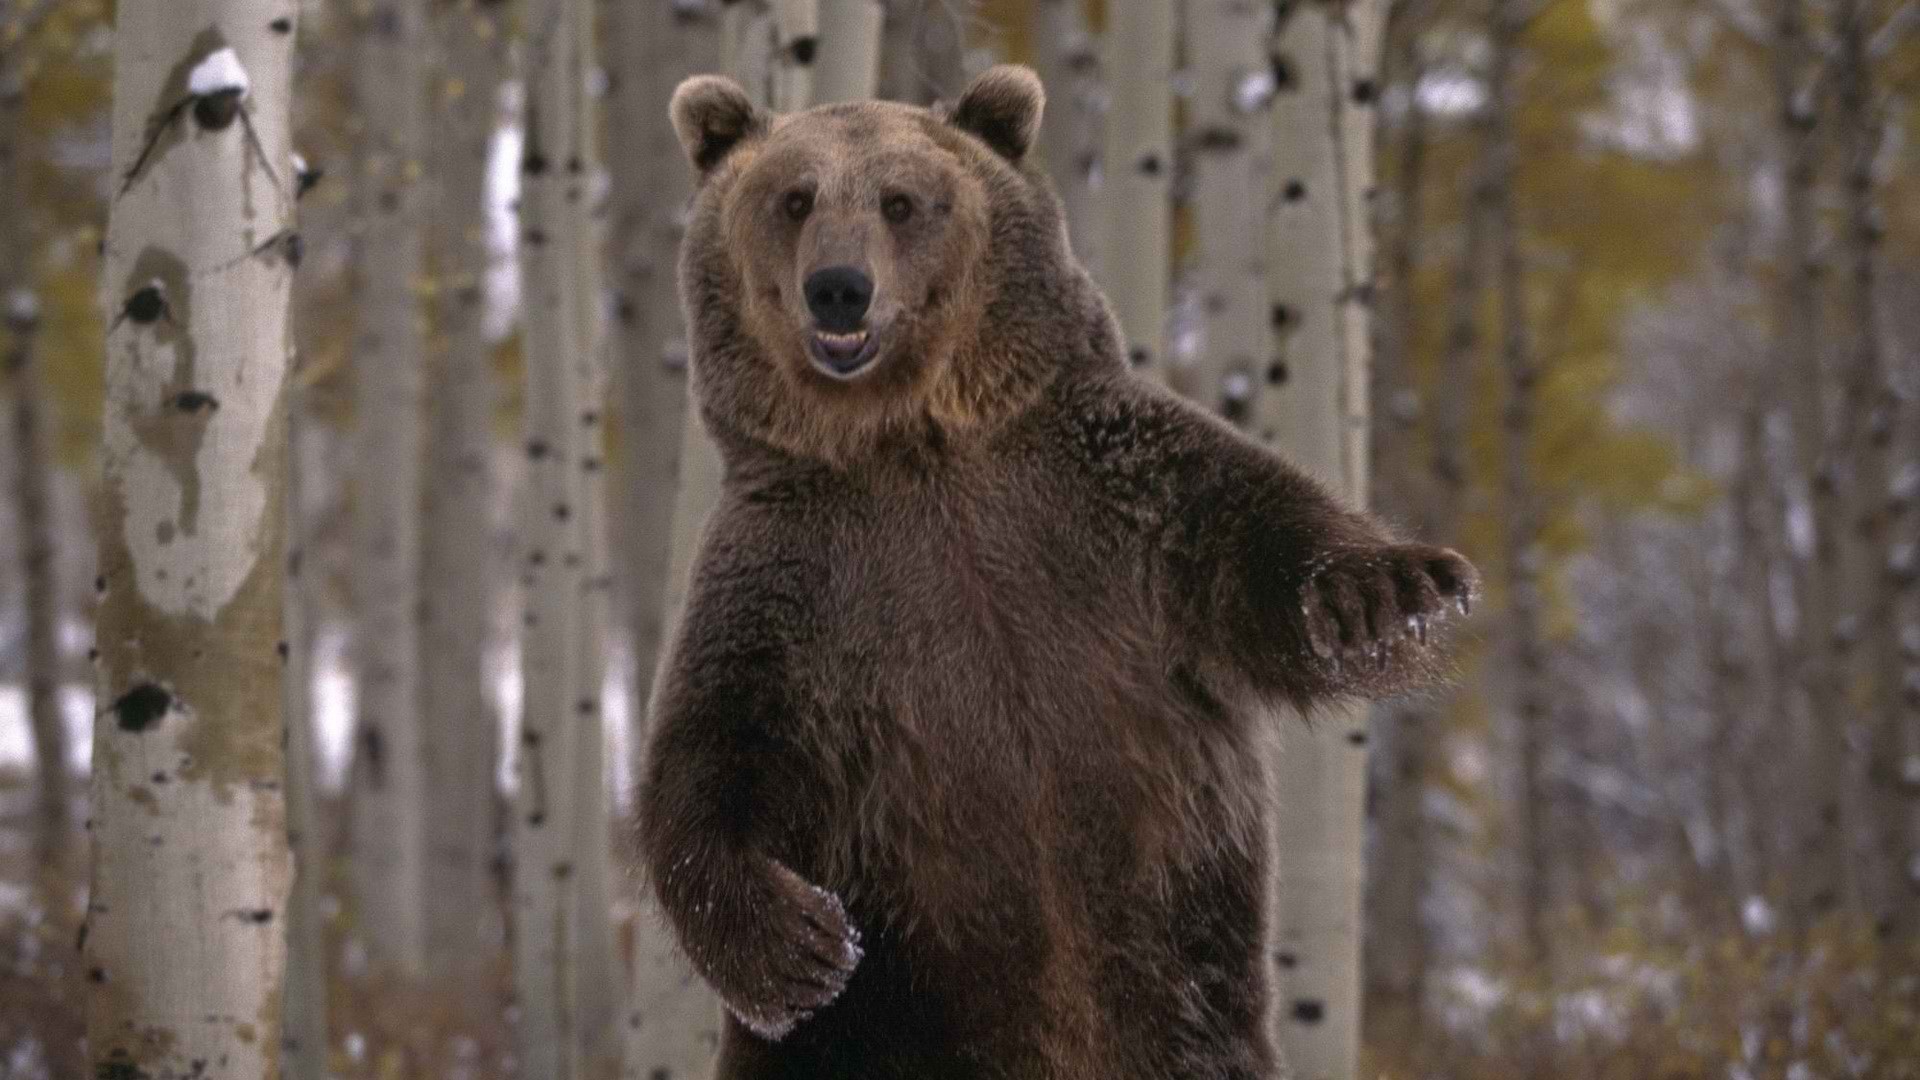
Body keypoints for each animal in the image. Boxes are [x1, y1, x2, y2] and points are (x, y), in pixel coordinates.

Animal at [638, 64, 1478, 1080]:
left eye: (901, 201)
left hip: (1184, 1003)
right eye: (793, 198)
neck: (913, 444)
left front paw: (1387, 594)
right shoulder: (793, 585)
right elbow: (708, 758)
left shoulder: (1112, 501)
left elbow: (1259, 534)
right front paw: (800, 947)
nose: (839, 289)